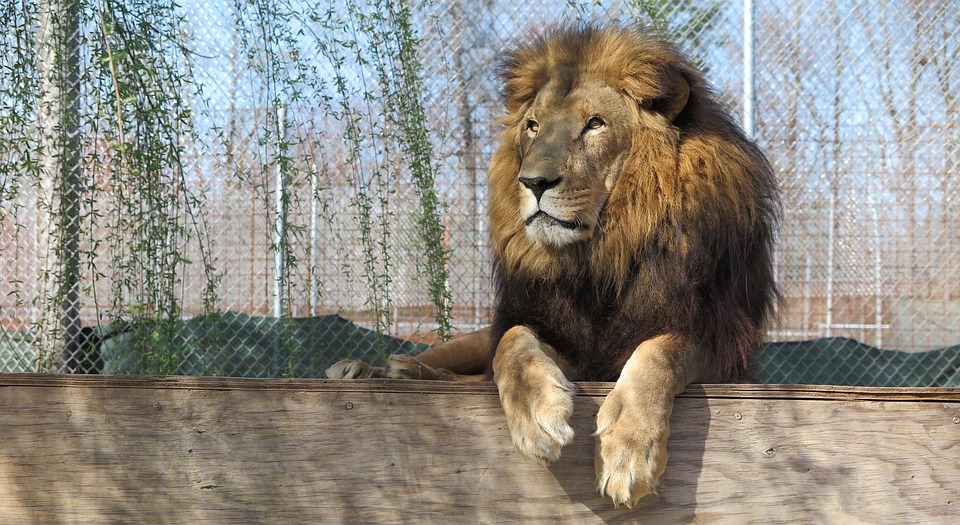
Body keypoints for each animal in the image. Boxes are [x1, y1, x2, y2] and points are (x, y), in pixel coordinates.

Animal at [327, 23, 779, 508]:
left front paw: (627, 448)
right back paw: (374, 369)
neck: (601, 257)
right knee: (466, 363)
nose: (533, 182)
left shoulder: (717, 344)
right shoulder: (557, 335)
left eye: (595, 123)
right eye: (533, 126)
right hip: (470, 340)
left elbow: (658, 352)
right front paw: (537, 414)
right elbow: (511, 342)